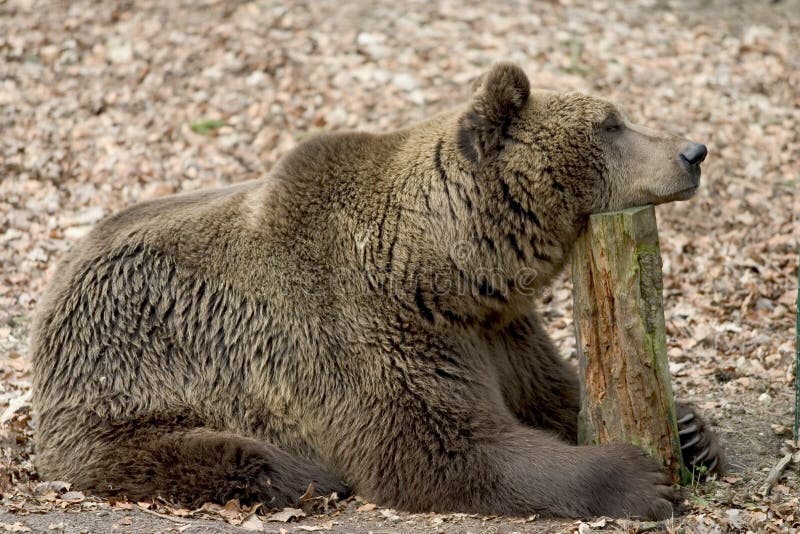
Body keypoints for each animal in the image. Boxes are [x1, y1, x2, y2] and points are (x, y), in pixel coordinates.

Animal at [31, 62, 721, 520]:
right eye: (612, 124)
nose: (694, 150)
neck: (444, 268)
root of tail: (54, 288)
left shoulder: (500, 328)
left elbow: (548, 391)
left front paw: (690, 429)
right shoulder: (364, 326)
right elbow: (437, 447)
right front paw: (638, 478)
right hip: (128, 375)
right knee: (232, 458)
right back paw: (306, 476)